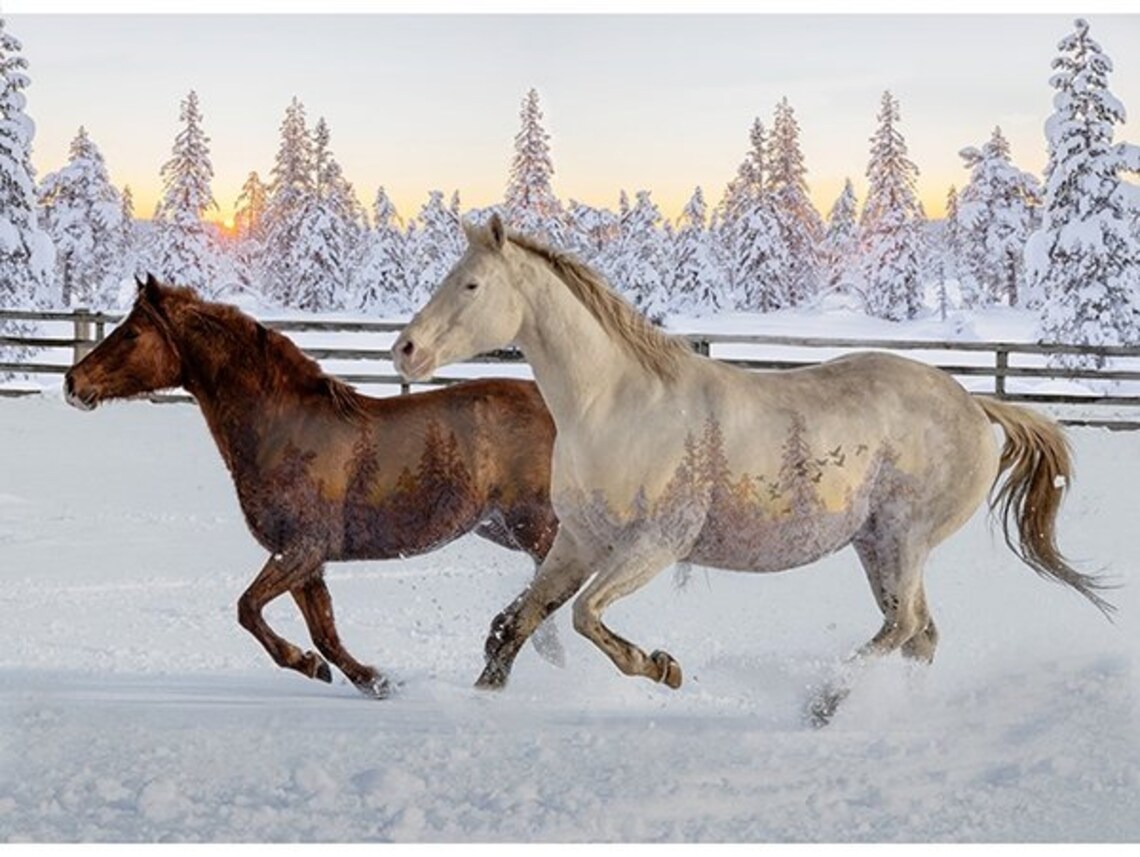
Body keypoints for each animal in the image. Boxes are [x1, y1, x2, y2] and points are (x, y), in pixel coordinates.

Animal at [64, 275, 562, 698]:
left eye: (132, 333)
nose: (73, 383)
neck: (283, 427)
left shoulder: (301, 548)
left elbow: (248, 608)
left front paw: (307, 662)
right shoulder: (307, 561)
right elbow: (324, 633)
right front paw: (371, 679)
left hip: (533, 522)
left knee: (555, 582)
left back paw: (499, 659)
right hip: (499, 526)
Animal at [392, 213, 1112, 721]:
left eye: (471, 284)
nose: (405, 350)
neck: (616, 403)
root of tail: (973, 403)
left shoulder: (655, 543)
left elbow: (584, 617)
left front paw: (663, 667)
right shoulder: (579, 539)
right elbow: (520, 619)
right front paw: (484, 692)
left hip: (903, 539)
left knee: (904, 626)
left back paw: (823, 703)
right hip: (878, 545)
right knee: (920, 635)